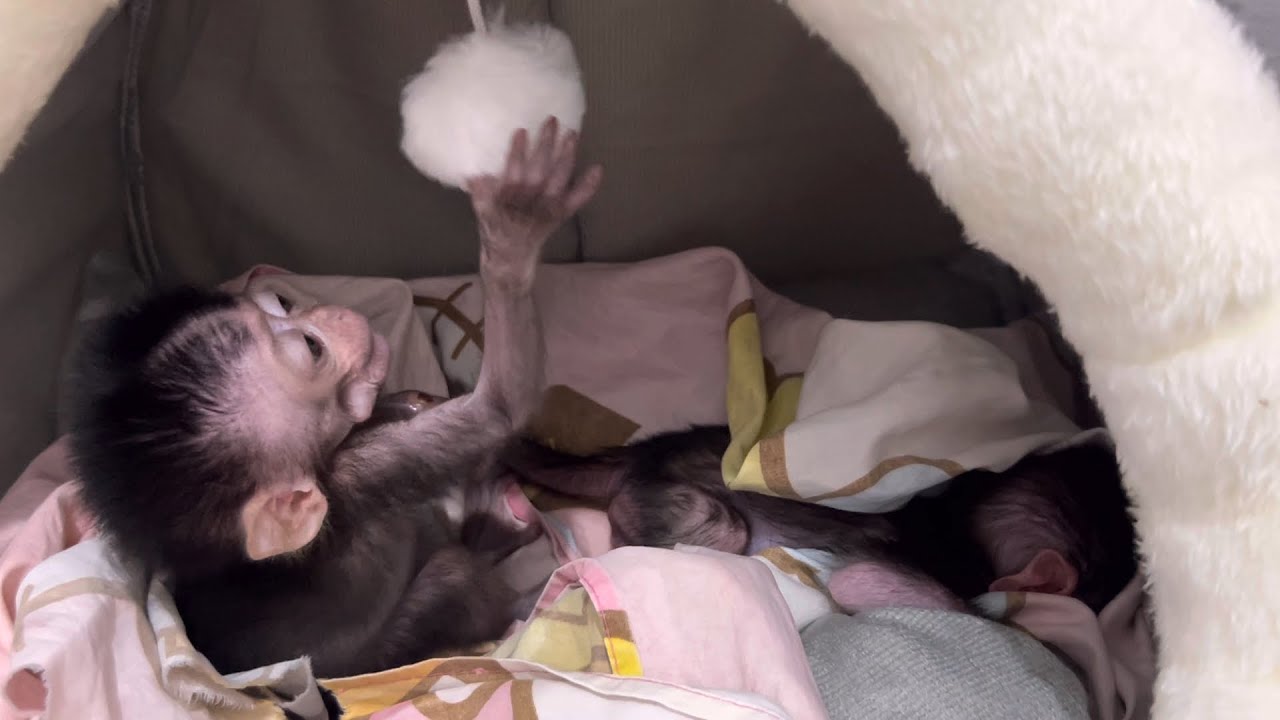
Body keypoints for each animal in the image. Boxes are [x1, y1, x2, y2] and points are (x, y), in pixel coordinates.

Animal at [66, 117, 604, 679]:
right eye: (311, 347)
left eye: (281, 305)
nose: (331, 314)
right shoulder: (355, 479)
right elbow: (497, 407)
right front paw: (515, 226)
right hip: (390, 649)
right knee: (452, 575)